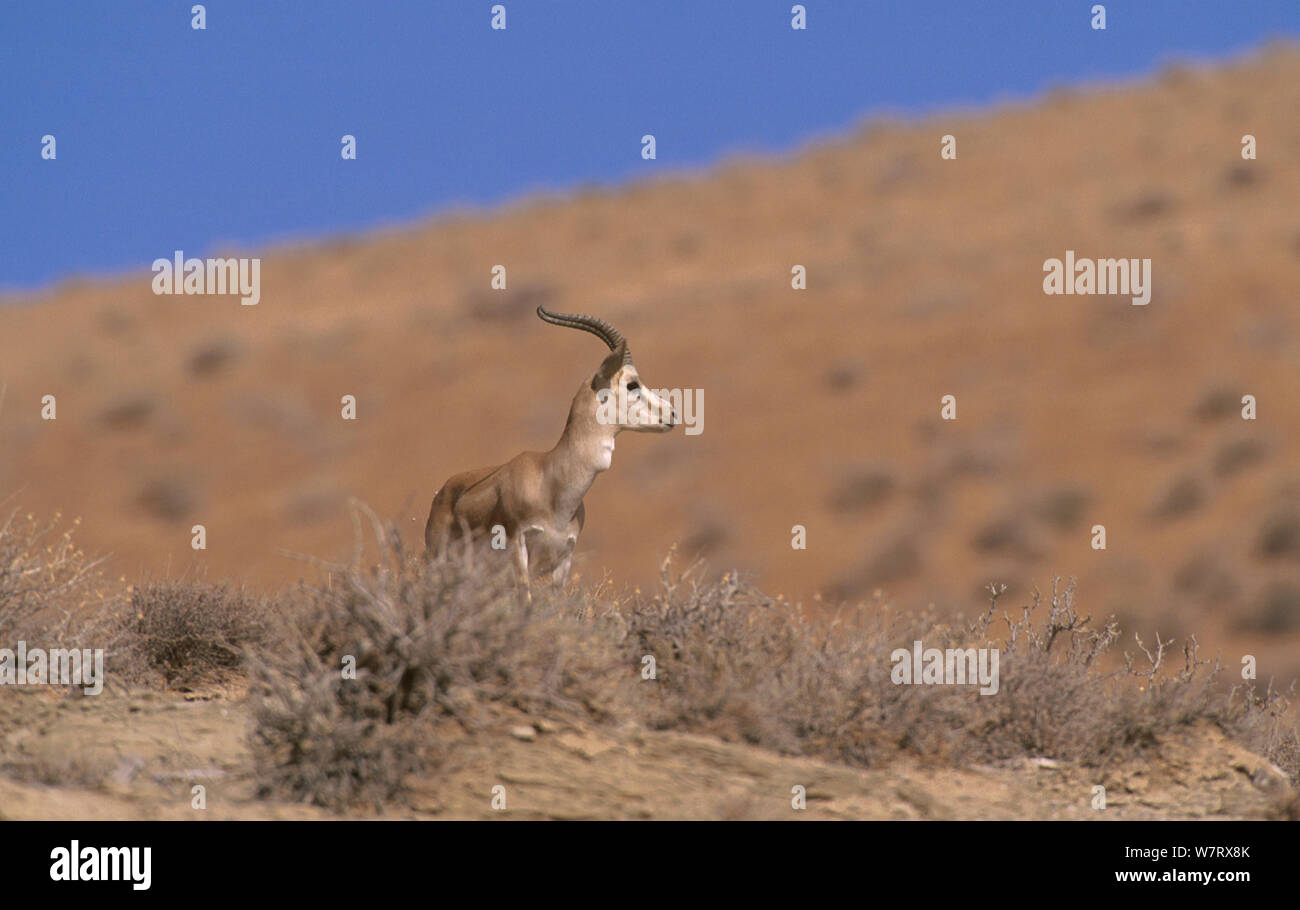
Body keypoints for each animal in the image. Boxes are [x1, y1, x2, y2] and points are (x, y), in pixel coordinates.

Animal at [424, 305, 677, 587]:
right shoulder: (518, 546)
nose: (672, 413)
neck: (551, 481)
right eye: (632, 384)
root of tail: (442, 492)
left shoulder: (564, 556)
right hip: (438, 565)